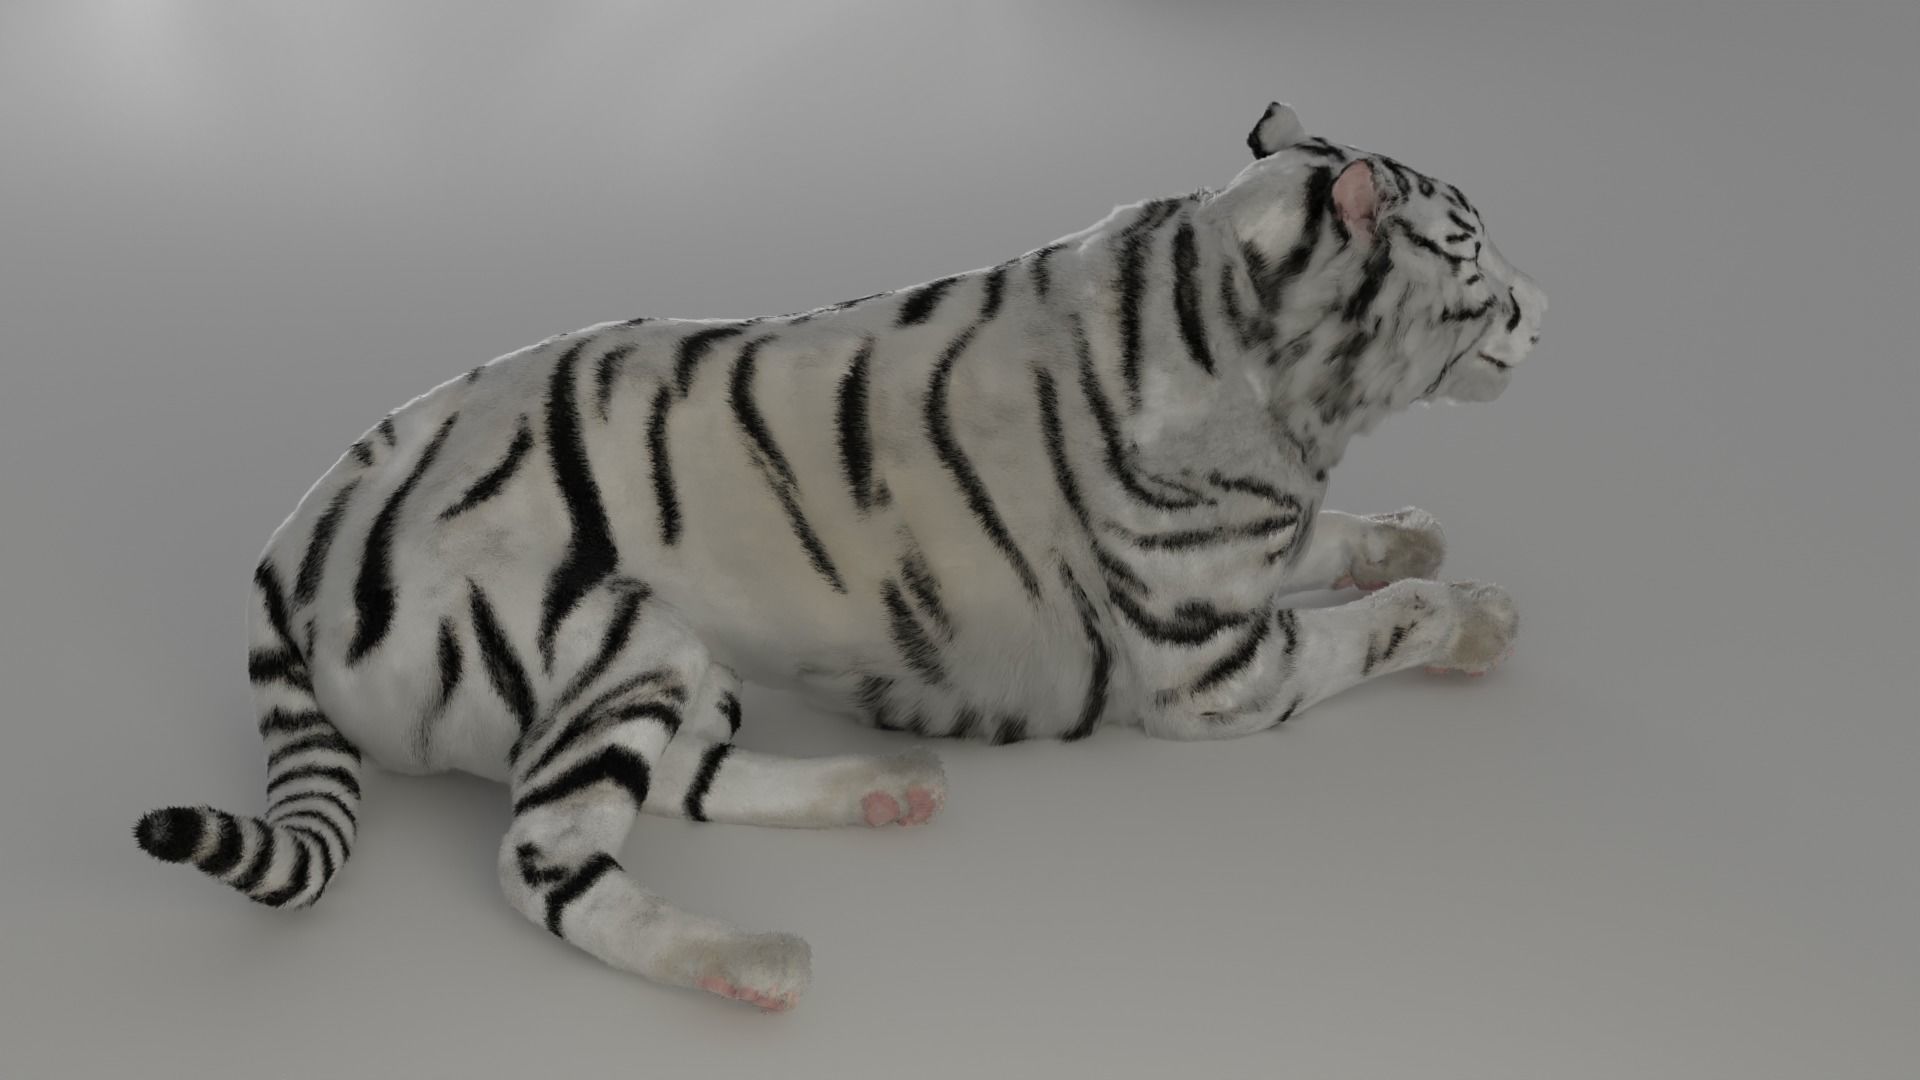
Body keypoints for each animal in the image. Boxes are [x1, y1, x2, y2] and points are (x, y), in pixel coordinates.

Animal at [132, 101, 1546, 1012]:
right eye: (1476, 257)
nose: (1546, 309)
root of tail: (297, 532)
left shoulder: (1266, 550)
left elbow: (1344, 542)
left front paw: (1407, 528)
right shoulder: (1218, 672)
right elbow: (1393, 619)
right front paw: (1476, 614)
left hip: (675, 664)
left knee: (681, 782)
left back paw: (883, 791)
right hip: (606, 642)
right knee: (547, 867)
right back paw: (751, 962)